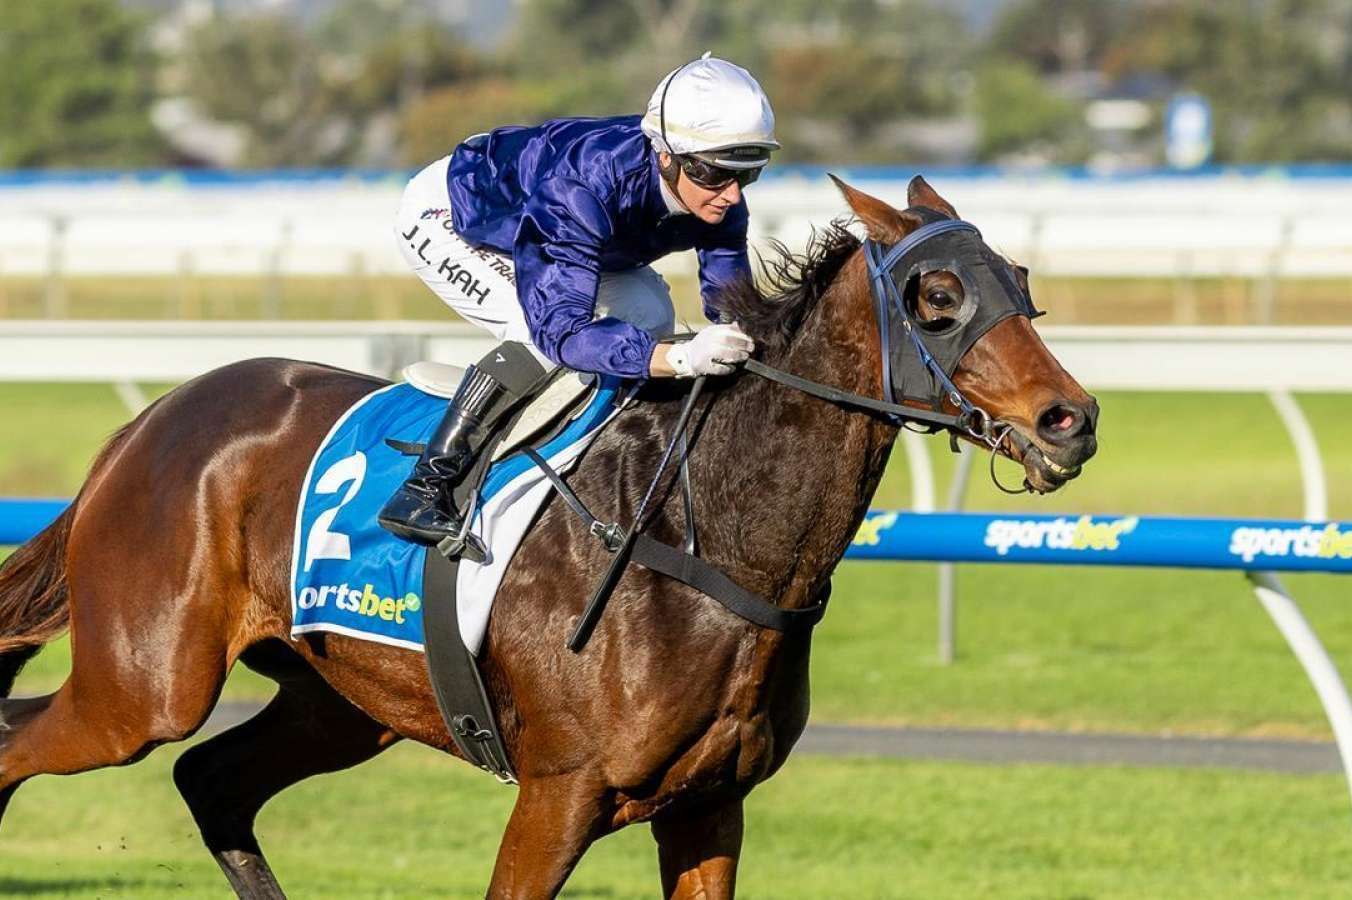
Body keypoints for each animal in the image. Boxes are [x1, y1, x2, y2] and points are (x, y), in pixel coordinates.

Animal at [0, 176, 1097, 898]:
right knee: (33, 739)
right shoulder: (557, 794)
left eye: (1019, 280)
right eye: (938, 300)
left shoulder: (708, 807)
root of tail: (148, 424)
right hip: (146, 687)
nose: (1070, 420)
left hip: (340, 701)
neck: (704, 541)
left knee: (212, 782)